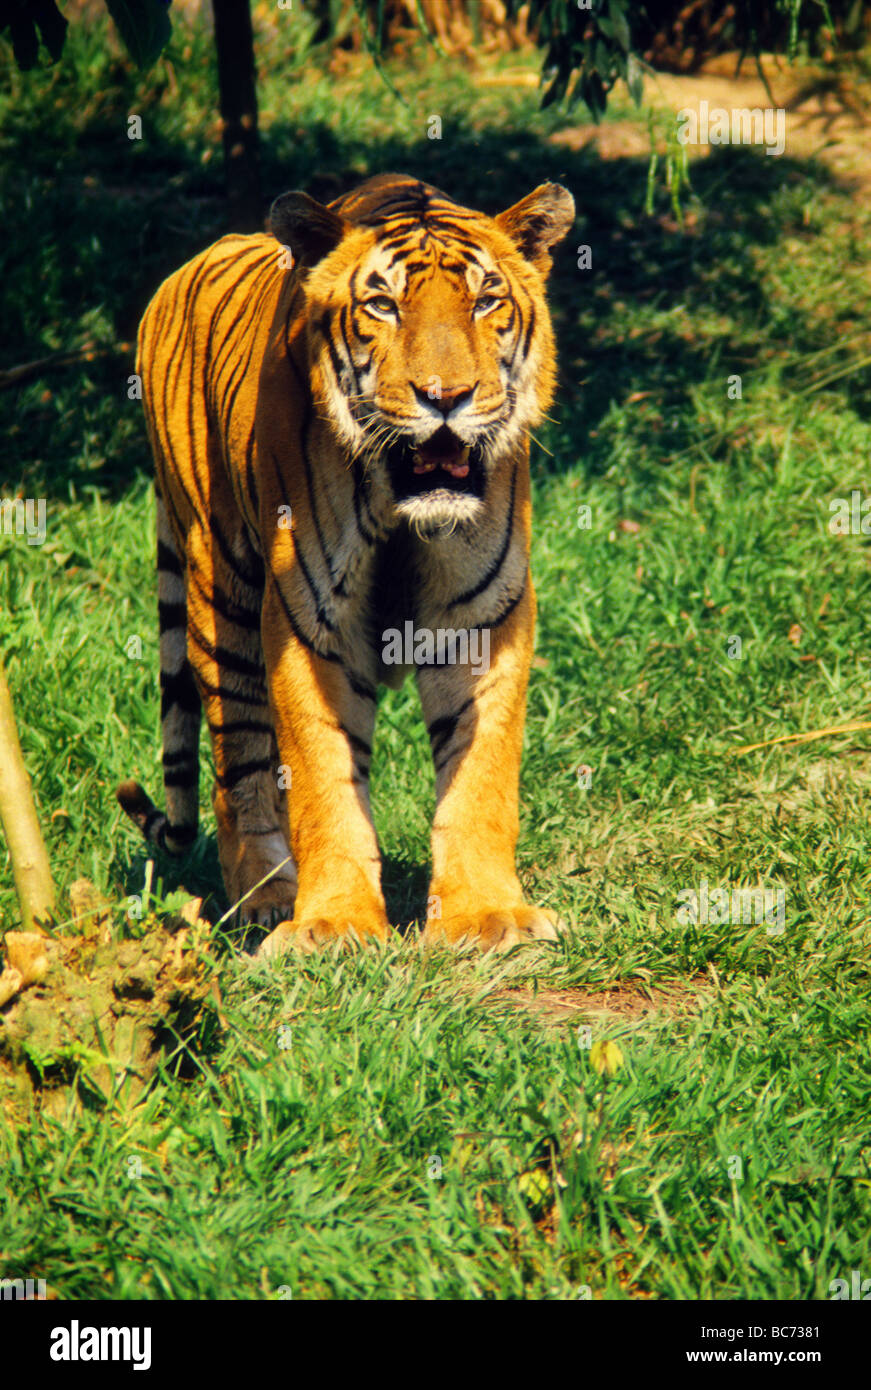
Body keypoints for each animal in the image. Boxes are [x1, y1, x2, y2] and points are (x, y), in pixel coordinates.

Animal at [117, 170, 580, 956]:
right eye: (382, 305)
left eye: (485, 300)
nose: (446, 397)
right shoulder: (309, 621)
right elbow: (322, 775)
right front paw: (333, 924)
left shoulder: (482, 615)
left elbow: (481, 777)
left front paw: (487, 916)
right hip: (221, 597)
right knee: (240, 773)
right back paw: (269, 897)